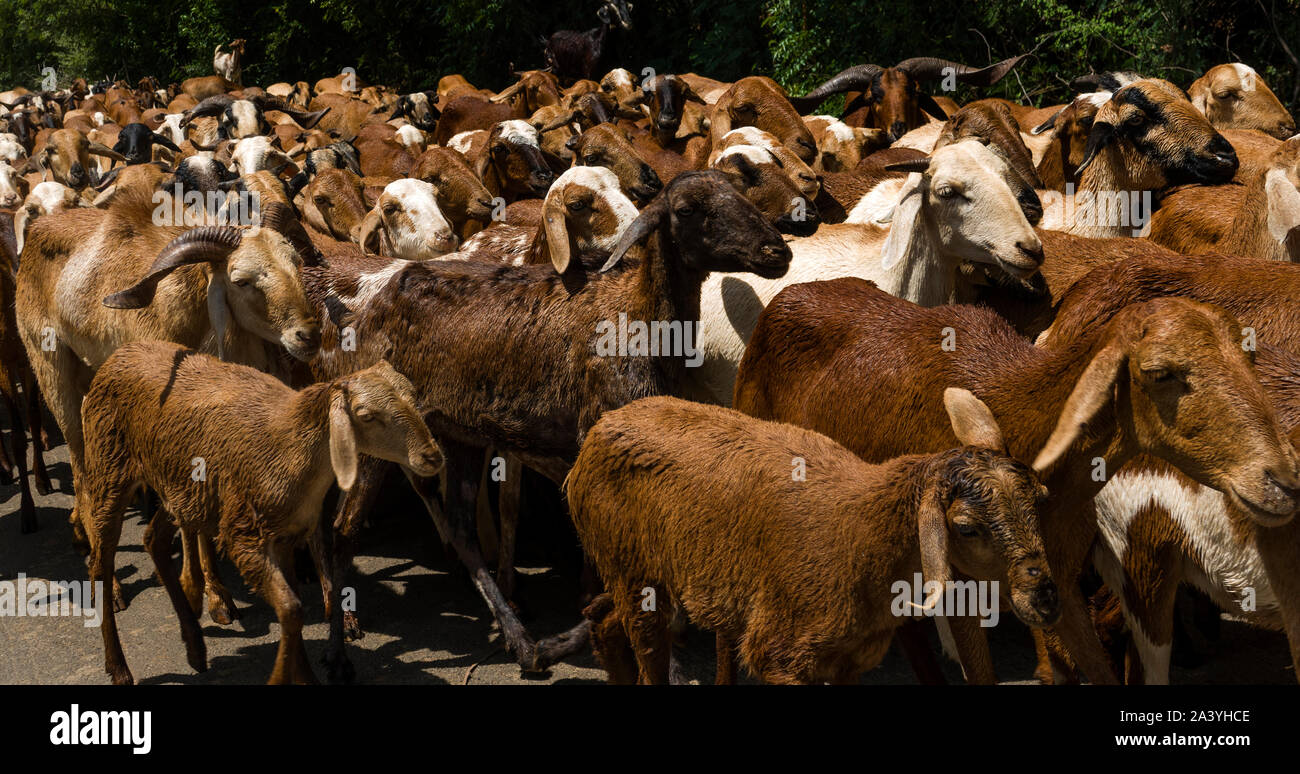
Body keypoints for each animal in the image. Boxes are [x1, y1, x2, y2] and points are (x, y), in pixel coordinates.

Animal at [79, 340, 442, 684]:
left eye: (414, 395)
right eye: (366, 415)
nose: (432, 457)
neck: (292, 445)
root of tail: (121, 352)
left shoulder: (286, 538)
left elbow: (295, 609)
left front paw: (305, 677)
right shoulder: (244, 537)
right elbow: (292, 610)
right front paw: (283, 678)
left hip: (183, 492)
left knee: (153, 539)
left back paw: (195, 648)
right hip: (109, 471)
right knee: (100, 562)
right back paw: (119, 667)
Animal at [303, 170, 791, 679]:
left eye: (739, 191)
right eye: (688, 209)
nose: (778, 251)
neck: (641, 317)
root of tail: (358, 311)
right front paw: (657, 659)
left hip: (459, 432)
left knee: (459, 527)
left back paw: (521, 640)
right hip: (378, 436)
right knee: (344, 529)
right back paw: (338, 649)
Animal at [567, 392, 1060, 684]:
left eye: (1040, 499)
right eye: (966, 527)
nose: (1046, 599)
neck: (868, 535)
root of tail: (599, 429)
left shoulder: (851, 659)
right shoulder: (779, 653)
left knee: (603, 619)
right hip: (632, 567)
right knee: (647, 647)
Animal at [734, 283, 1300, 685]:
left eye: (1249, 359)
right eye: (1160, 372)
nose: (1284, 483)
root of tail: (793, 292)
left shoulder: (1063, 582)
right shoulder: (960, 591)